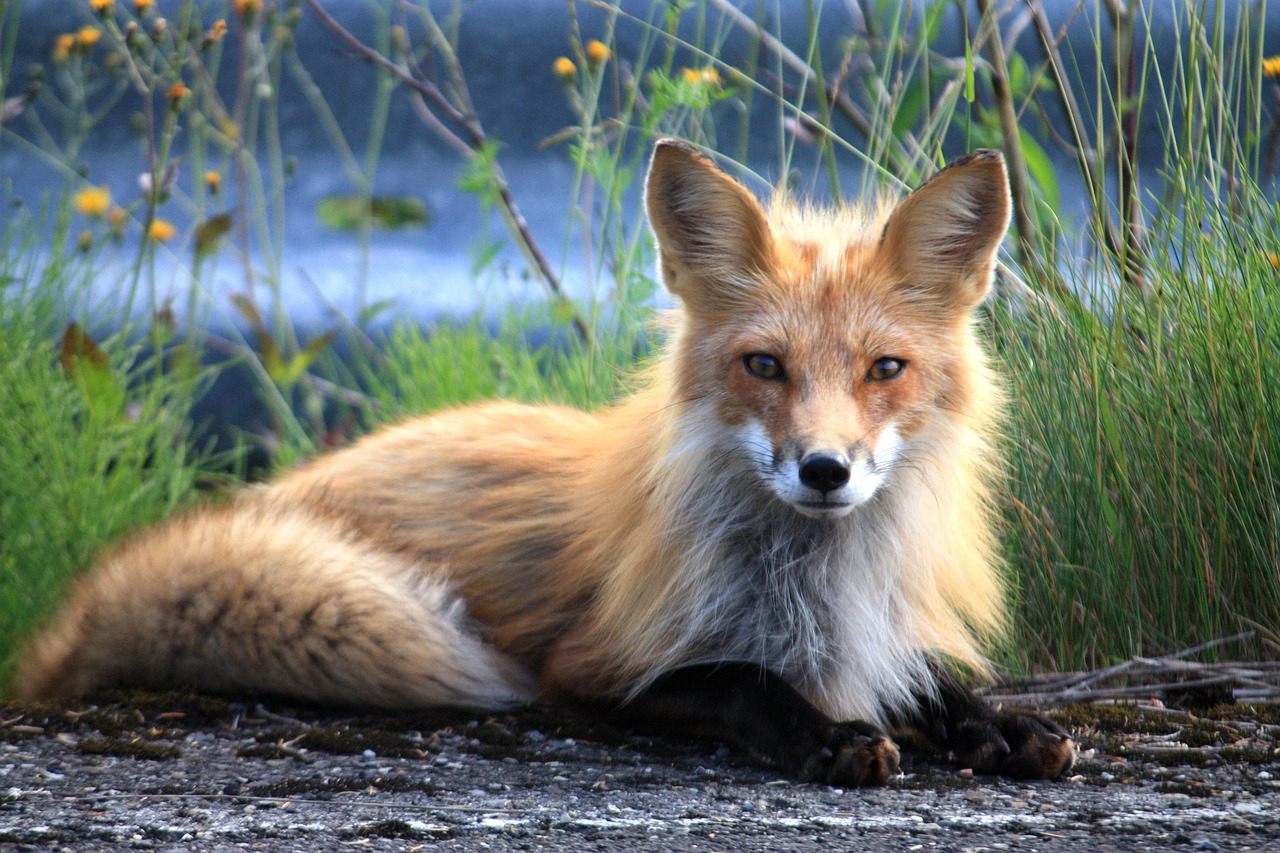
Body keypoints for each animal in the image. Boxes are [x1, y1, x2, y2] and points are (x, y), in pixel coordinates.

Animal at [13, 139, 1074, 785]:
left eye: (884, 369)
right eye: (764, 366)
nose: (824, 470)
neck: (814, 583)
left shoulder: (880, 626)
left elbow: (927, 675)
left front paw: (998, 722)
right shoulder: (597, 666)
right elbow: (746, 679)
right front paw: (831, 732)